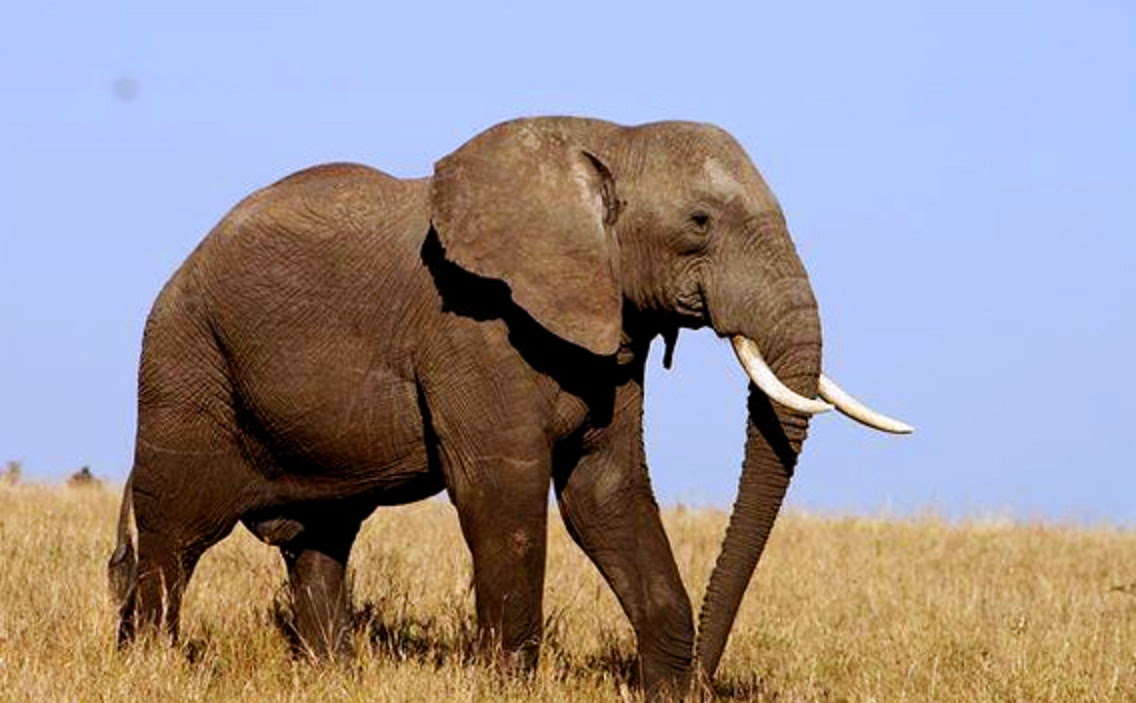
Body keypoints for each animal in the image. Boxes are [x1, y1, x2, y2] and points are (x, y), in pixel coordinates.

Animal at [107, 116, 910, 699]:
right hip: (184, 365)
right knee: (177, 535)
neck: (607, 140)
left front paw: (663, 690)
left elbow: (606, 495)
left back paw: (336, 673)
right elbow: (504, 493)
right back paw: (150, 664)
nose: (704, 681)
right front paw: (506, 686)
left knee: (321, 543)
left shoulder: (609, 333)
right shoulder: (473, 330)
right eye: (700, 222)